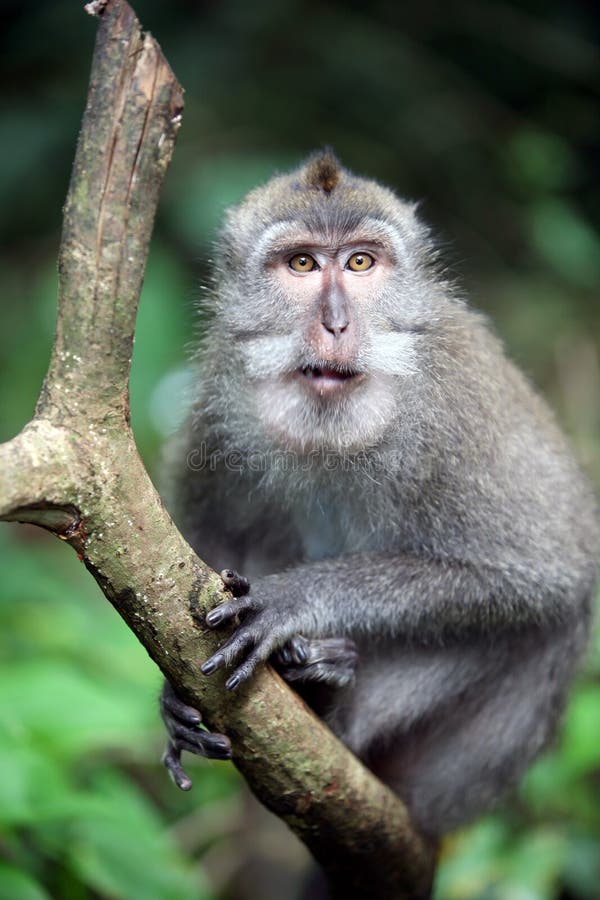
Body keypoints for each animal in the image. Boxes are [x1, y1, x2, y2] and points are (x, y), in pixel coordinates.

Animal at [160, 150, 599, 838]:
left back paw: (332, 699)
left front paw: (295, 598)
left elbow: (542, 575)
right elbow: (206, 541)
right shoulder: (218, 404)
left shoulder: (453, 409)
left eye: (361, 263)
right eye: (303, 264)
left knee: (543, 622)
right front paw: (173, 698)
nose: (337, 323)